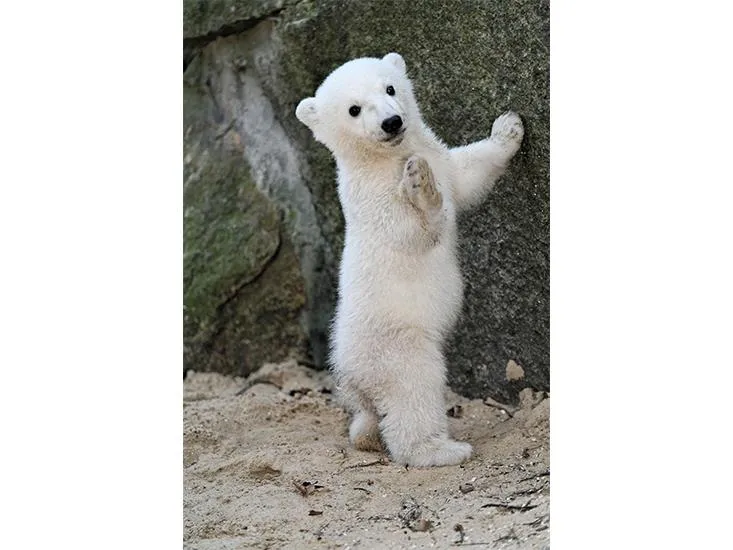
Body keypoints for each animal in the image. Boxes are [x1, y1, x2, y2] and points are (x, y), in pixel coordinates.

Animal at [296, 52, 523, 467]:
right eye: (354, 109)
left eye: (390, 88)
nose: (392, 122)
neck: (386, 159)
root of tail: (345, 369)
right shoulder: (373, 197)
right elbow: (412, 232)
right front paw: (424, 189)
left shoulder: (439, 156)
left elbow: (467, 172)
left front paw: (508, 127)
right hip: (395, 347)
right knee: (414, 391)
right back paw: (440, 449)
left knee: (373, 415)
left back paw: (368, 436)